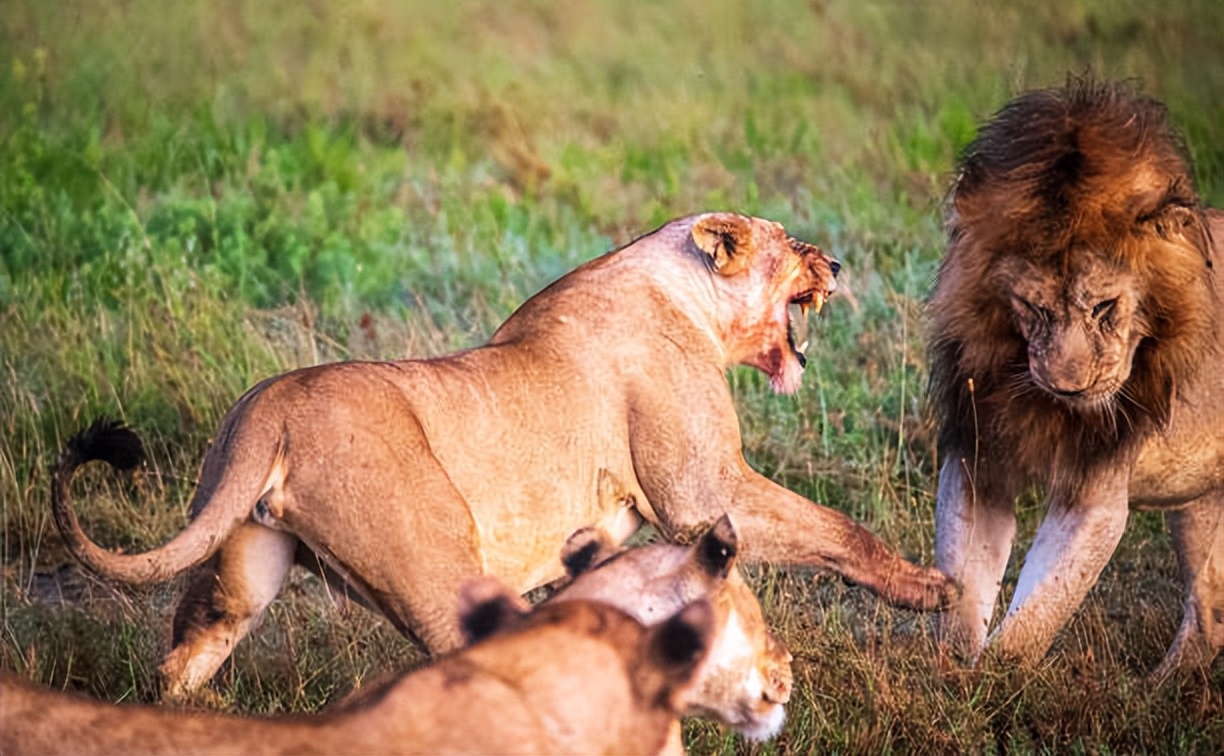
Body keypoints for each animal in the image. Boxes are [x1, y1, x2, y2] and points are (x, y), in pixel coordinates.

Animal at [51, 212, 956, 700]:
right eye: (793, 245)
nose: (835, 263)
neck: (681, 291)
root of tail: (272, 401)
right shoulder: (701, 491)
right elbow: (836, 528)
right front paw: (929, 589)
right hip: (437, 571)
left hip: (238, 573)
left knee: (182, 661)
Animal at [927, 79, 1224, 678]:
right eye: (1034, 308)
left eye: (1104, 307)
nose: (1069, 387)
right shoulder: (979, 455)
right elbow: (961, 588)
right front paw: (947, 679)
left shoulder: (1095, 496)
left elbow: (1035, 619)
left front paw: (991, 686)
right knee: (1208, 615)